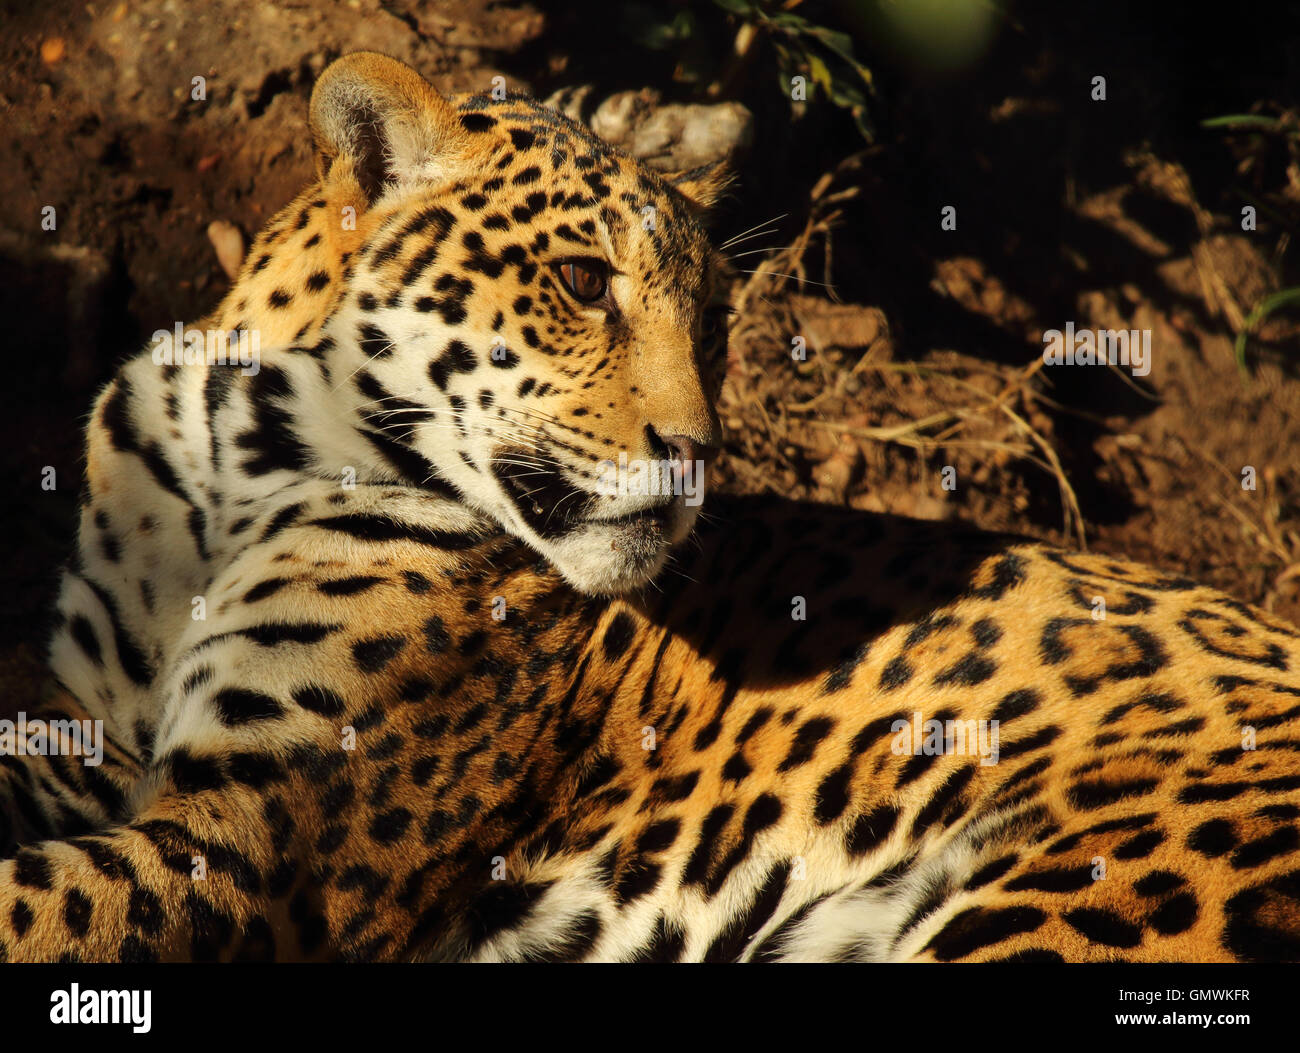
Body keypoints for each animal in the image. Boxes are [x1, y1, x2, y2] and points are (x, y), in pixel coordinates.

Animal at [2, 51, 1299, 963]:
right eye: (582, 283)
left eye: (716, 325)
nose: (698, 456)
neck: (237, 456)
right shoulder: (92, 732)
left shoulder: (262, 848)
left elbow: (32, 900)